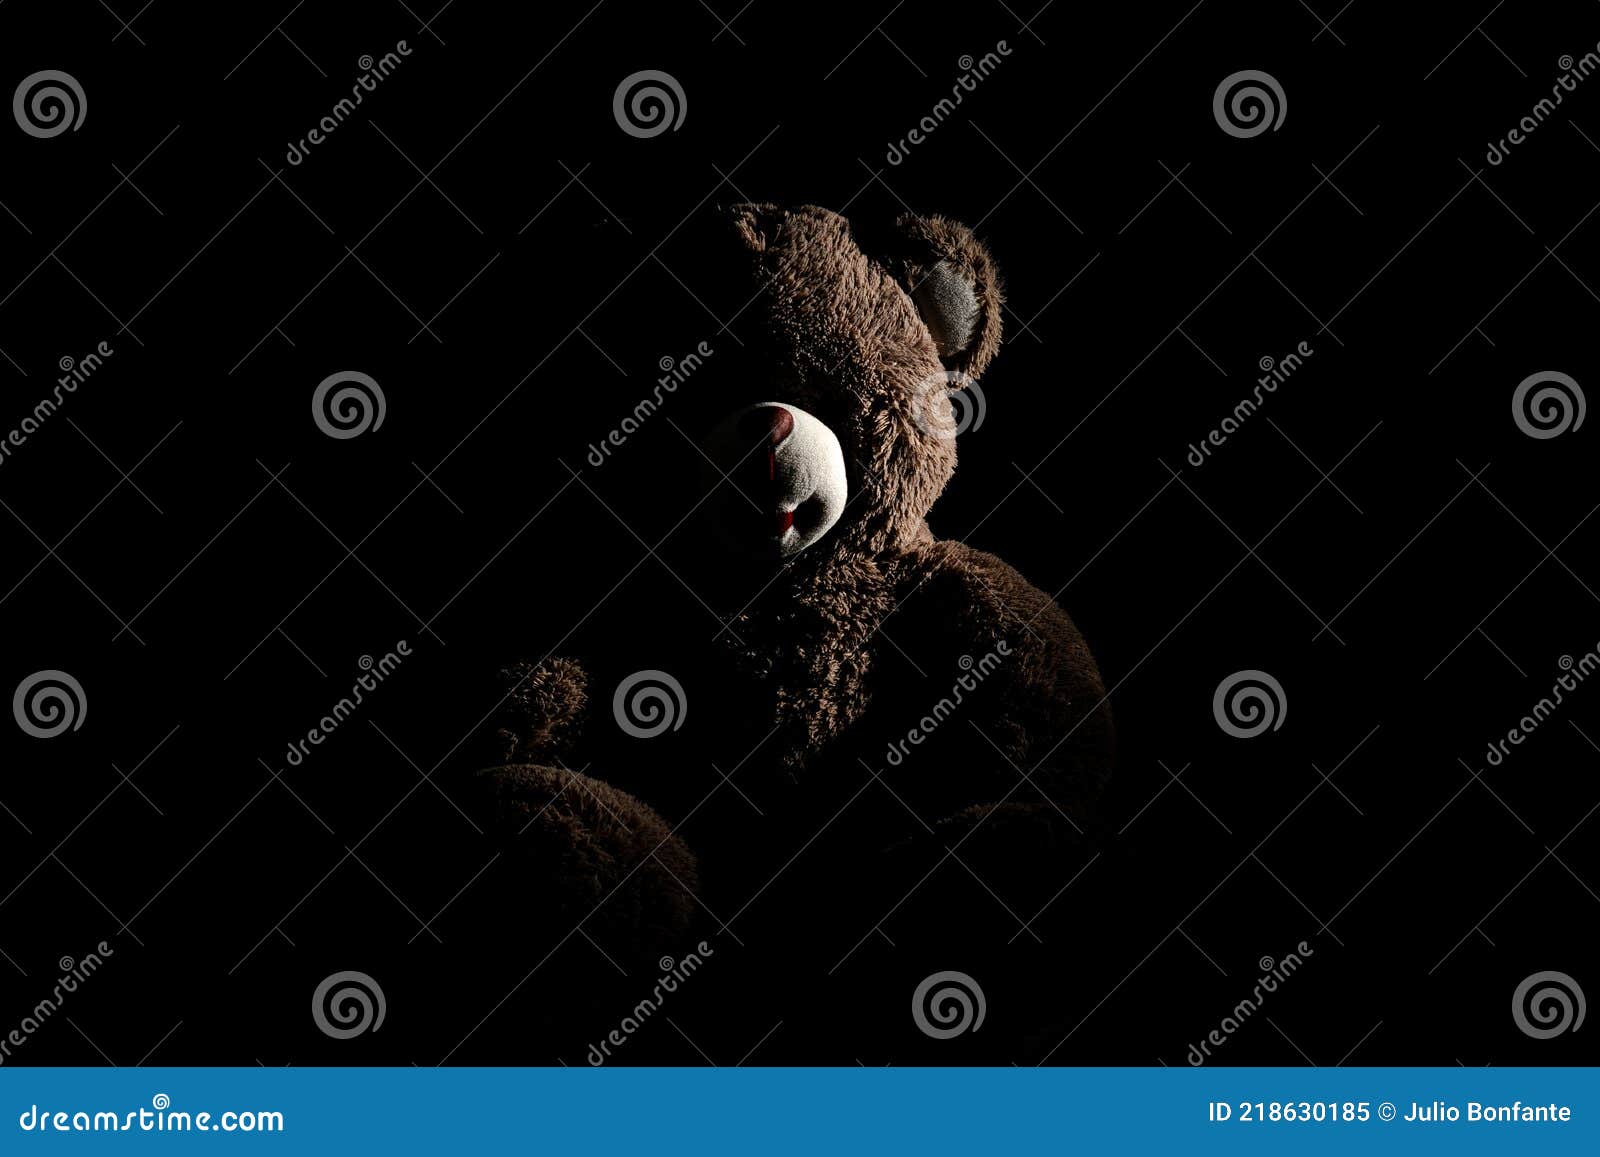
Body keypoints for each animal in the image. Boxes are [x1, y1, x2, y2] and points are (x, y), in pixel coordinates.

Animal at [461, 203, 1114, 1062]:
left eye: (824, 392)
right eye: (690, 394)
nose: (768, 425)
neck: (778, 592)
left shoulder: (947, 587)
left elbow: (1037, 691)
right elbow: (543, 685)